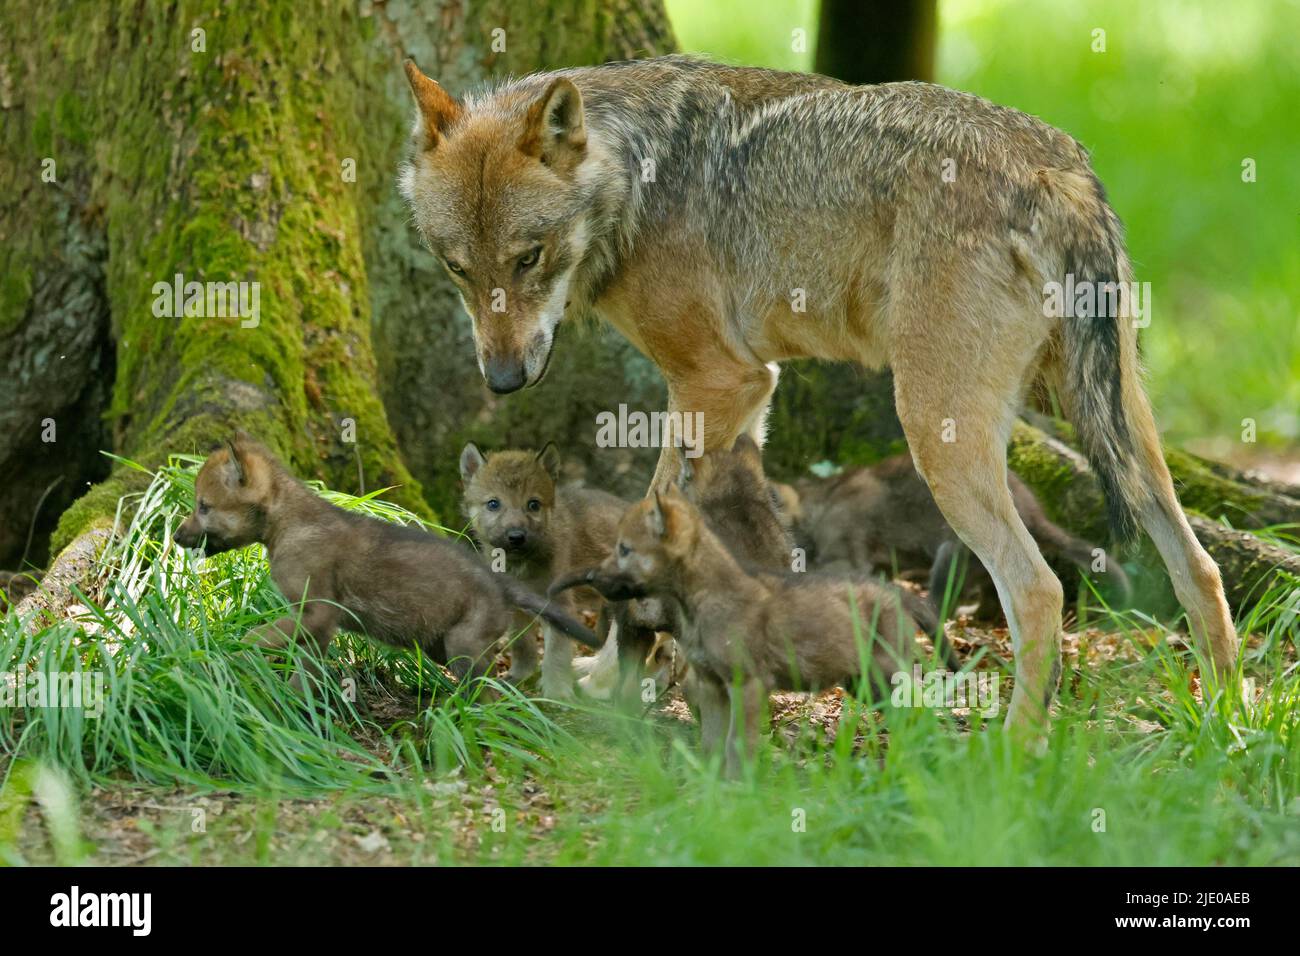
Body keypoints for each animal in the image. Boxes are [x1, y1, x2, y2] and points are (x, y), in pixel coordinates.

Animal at [174, 434, 598, 693]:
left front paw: (226, 656)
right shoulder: (318, 625)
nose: (176, 536)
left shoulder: (316, 611)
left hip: (462, 646)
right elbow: (303, 667)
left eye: (203, 506)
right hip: (440, 646)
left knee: (489, 692)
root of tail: (500, 581)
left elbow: (255, 637)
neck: (286, 525)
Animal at [459, 441, 626, 697]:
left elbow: (555, 655)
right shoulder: (516, 604)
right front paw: (520, 675)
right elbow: (521, 644)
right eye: (493, 503)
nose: (516, 536)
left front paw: (557, 693)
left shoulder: (557, 605)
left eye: (533, 504)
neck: (519, 567)